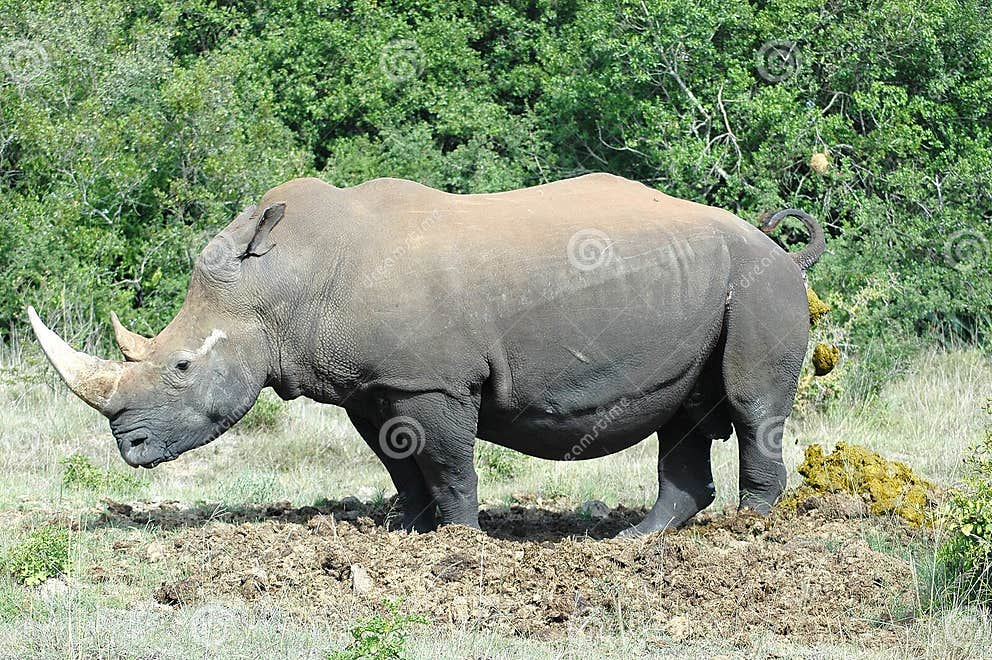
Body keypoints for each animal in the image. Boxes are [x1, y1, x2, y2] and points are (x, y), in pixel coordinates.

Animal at [29, 173, 823, 535]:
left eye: (181, 366)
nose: (128, 447)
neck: (289, 281)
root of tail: (782, 249)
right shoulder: (369, 384)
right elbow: (397, 458)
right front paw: (407, 530)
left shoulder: (431, 382)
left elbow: (446, 460)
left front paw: (461, 540)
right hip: (708, 284)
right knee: (683, 416)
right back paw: (637, 540)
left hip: (761, 285)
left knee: (751, 406)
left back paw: (751, 533)